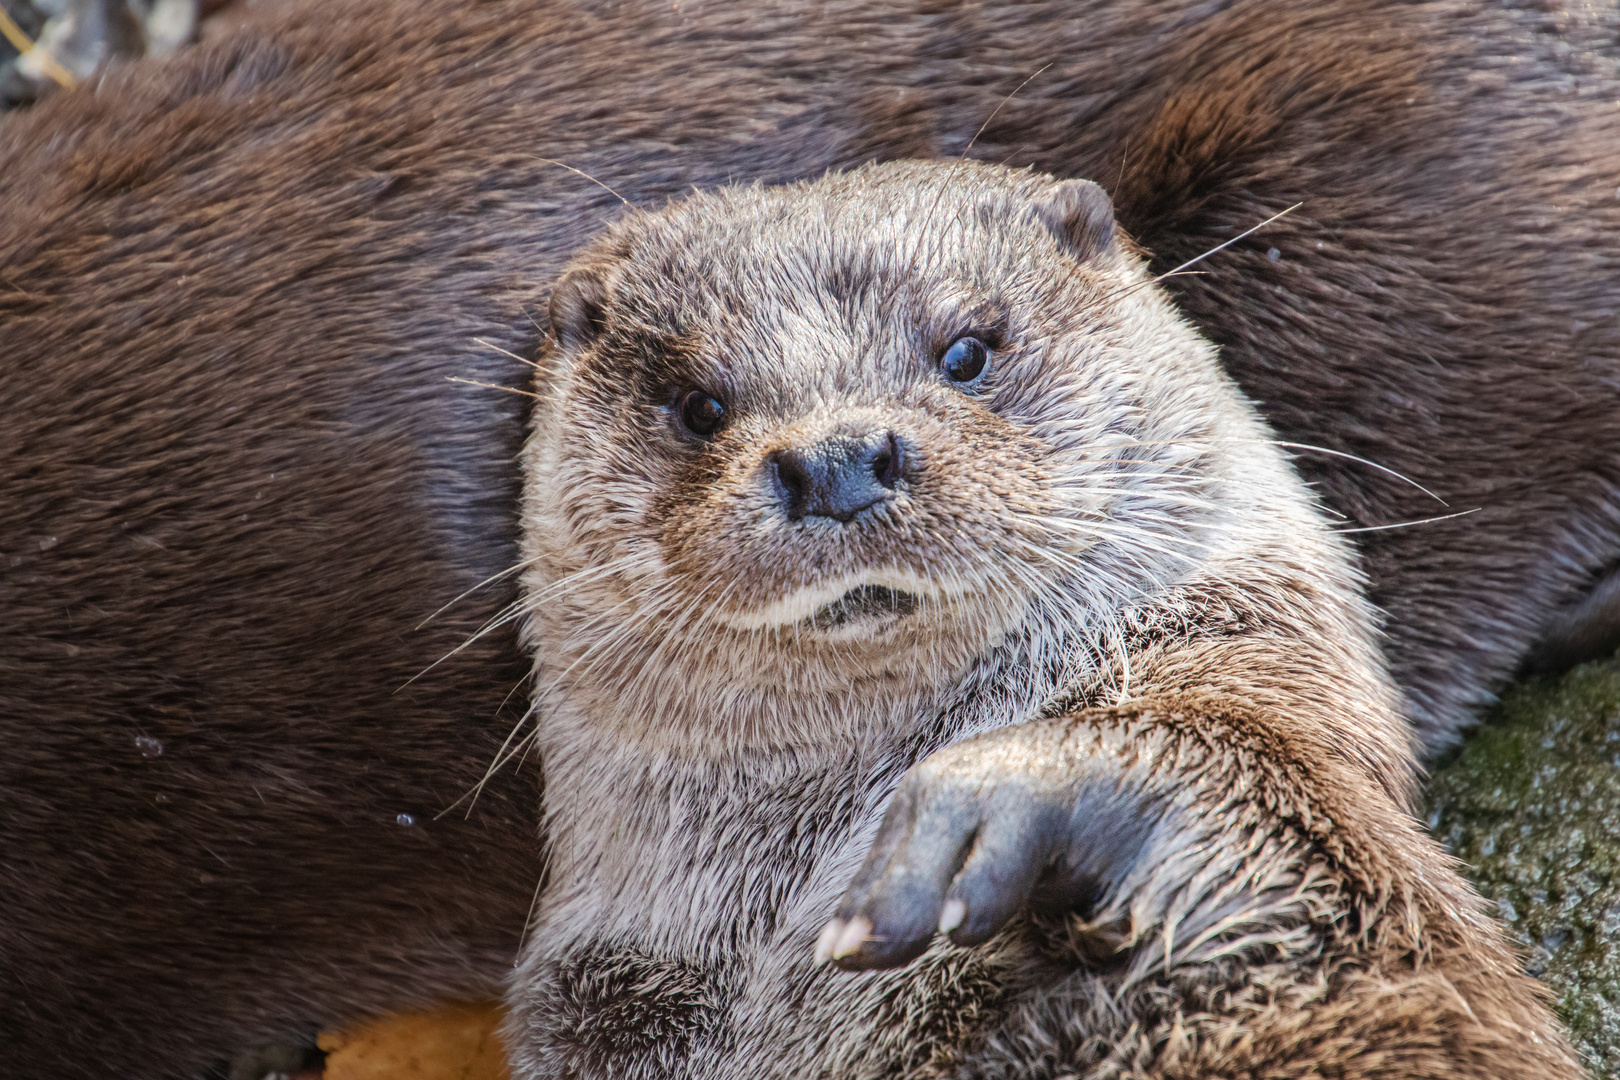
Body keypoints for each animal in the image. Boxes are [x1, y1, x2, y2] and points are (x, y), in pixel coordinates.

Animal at [3, 0, 1620, 1075]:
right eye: (697, 403)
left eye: (966, 351)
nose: (836, 455)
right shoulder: (604, 1006)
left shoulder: (1266, 711)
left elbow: (1233, 798)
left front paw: (984, 819)